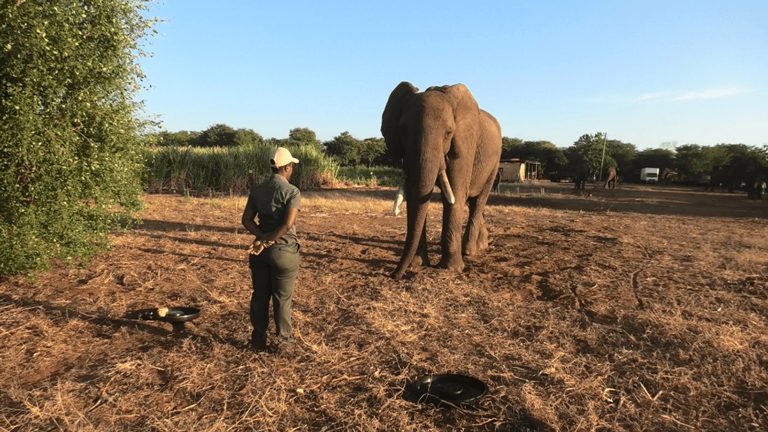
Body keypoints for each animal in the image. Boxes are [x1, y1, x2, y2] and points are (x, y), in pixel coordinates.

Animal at [382, 82, 502, 279]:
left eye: (448, 133)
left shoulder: (464, 145)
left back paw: (470, 251)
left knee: (478, 202)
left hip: (495, 163)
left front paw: (450, 269)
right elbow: (415, 195)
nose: (394, 275)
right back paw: (481, 245)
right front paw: (418, 263)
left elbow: (455, 195)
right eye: (403, 131)